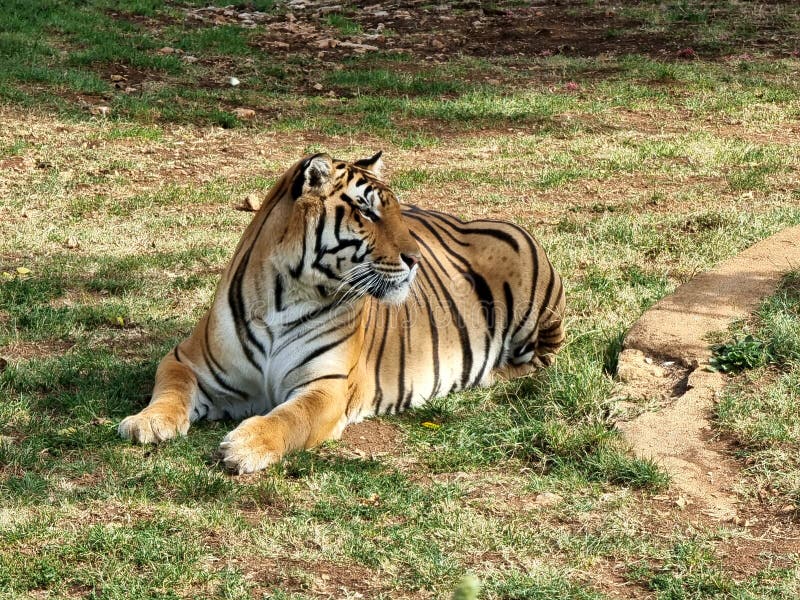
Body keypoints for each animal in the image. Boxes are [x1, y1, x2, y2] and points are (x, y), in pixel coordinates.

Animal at [118, 152, 565, 473]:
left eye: (397, 211)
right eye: (367, 211)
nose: (416, 259)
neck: (282, 295)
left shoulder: (327, 387)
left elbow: (288, 418)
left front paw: (244, 446)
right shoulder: (186, 359)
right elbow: (171, 389)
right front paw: (146, 422)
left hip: (530, 281)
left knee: (541, 360)